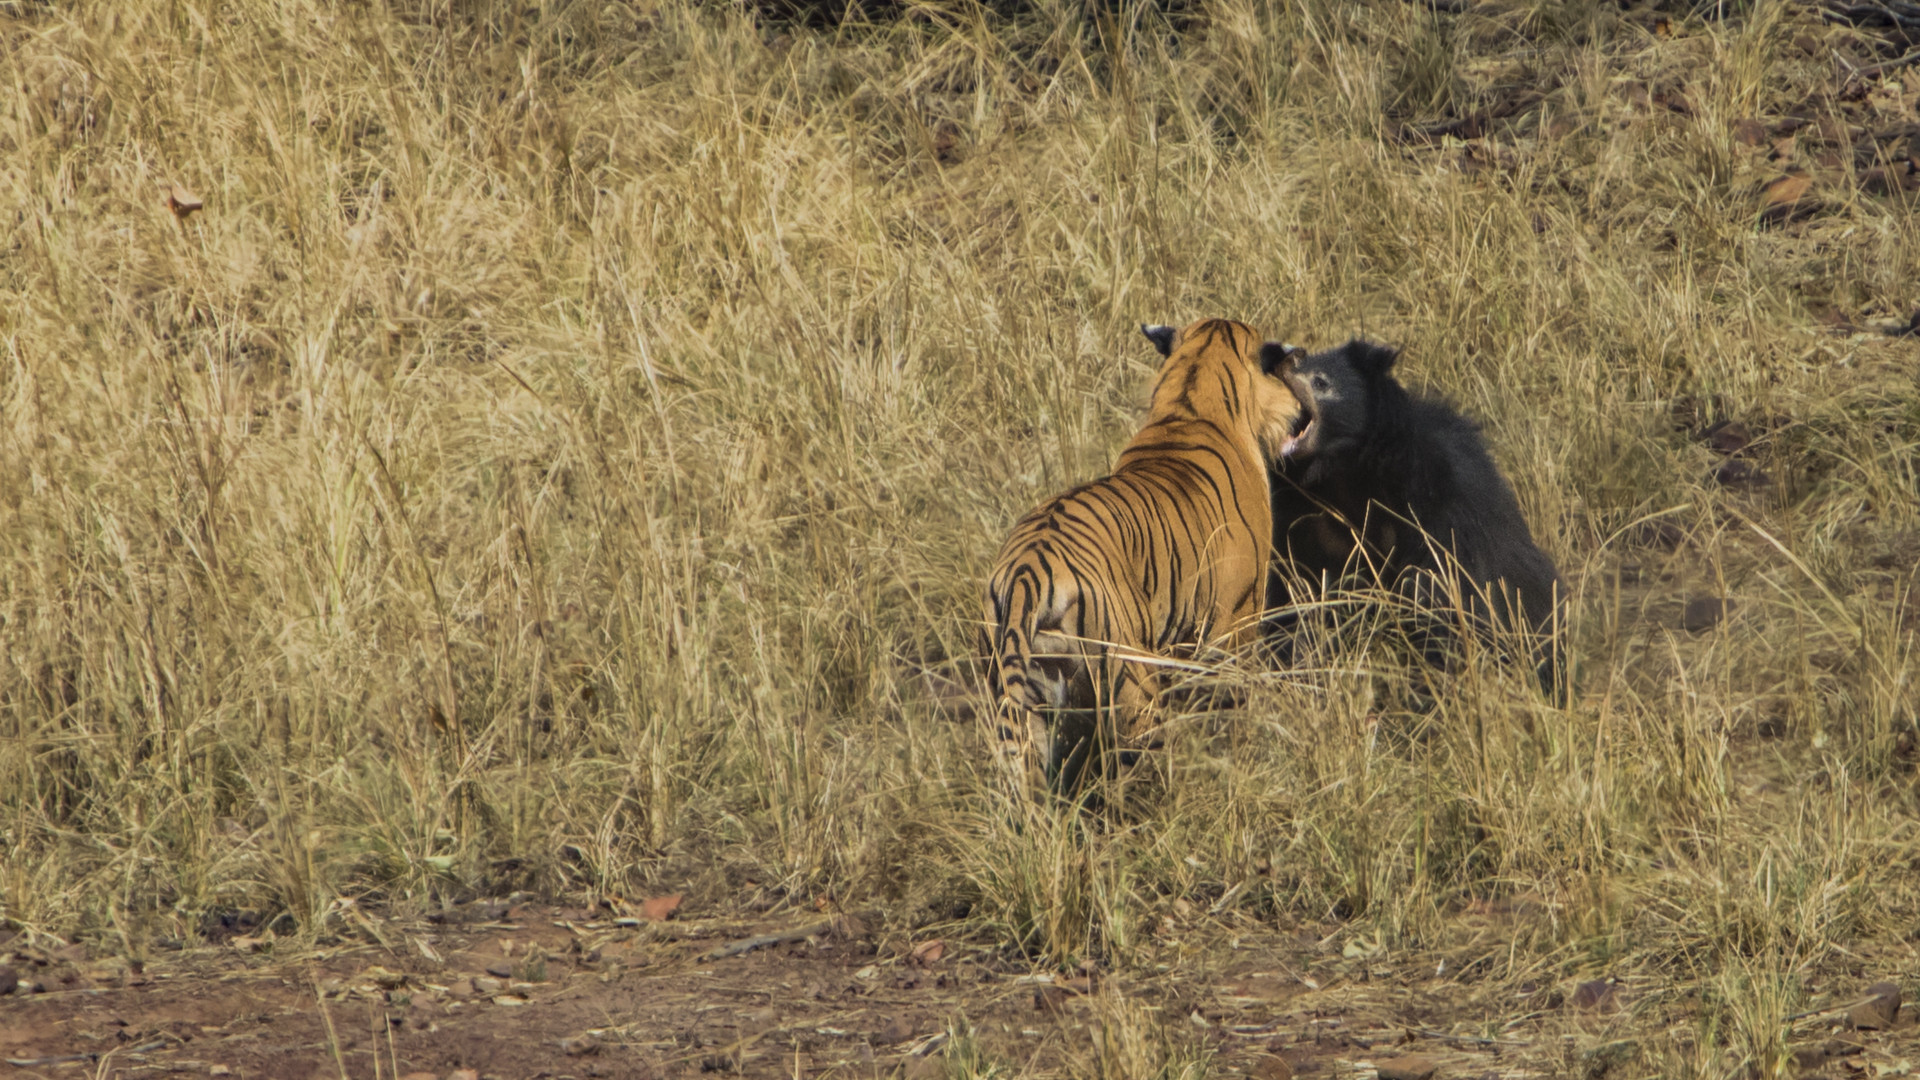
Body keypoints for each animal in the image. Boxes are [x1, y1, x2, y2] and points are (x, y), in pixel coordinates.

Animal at [981, 318, 1304, 798]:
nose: (1303, 411)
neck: (1189, 403)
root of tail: (1027, 571)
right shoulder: (1235, 625)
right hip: (1132, 683)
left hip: (1024, 695)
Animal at [1265, 339, 1564, 694]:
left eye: (1321, 381)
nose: (1283, 358)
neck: (1346, 474)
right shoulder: (1306, 520)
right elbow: (1294, 586)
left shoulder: (1439, 507)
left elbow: (1438, 591)